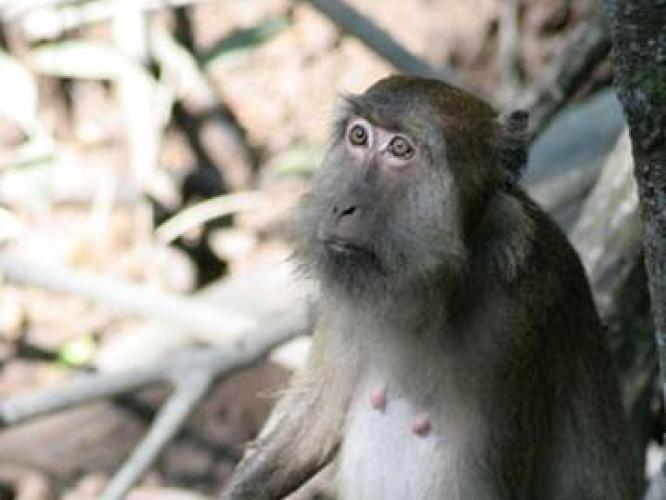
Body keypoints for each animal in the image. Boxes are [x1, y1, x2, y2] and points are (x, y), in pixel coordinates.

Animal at [221, 75, 641, 499]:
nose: (342, 206)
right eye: (359, 136)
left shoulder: (517, 332)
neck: (438, 289)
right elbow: (310, 431)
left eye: (400, 149)